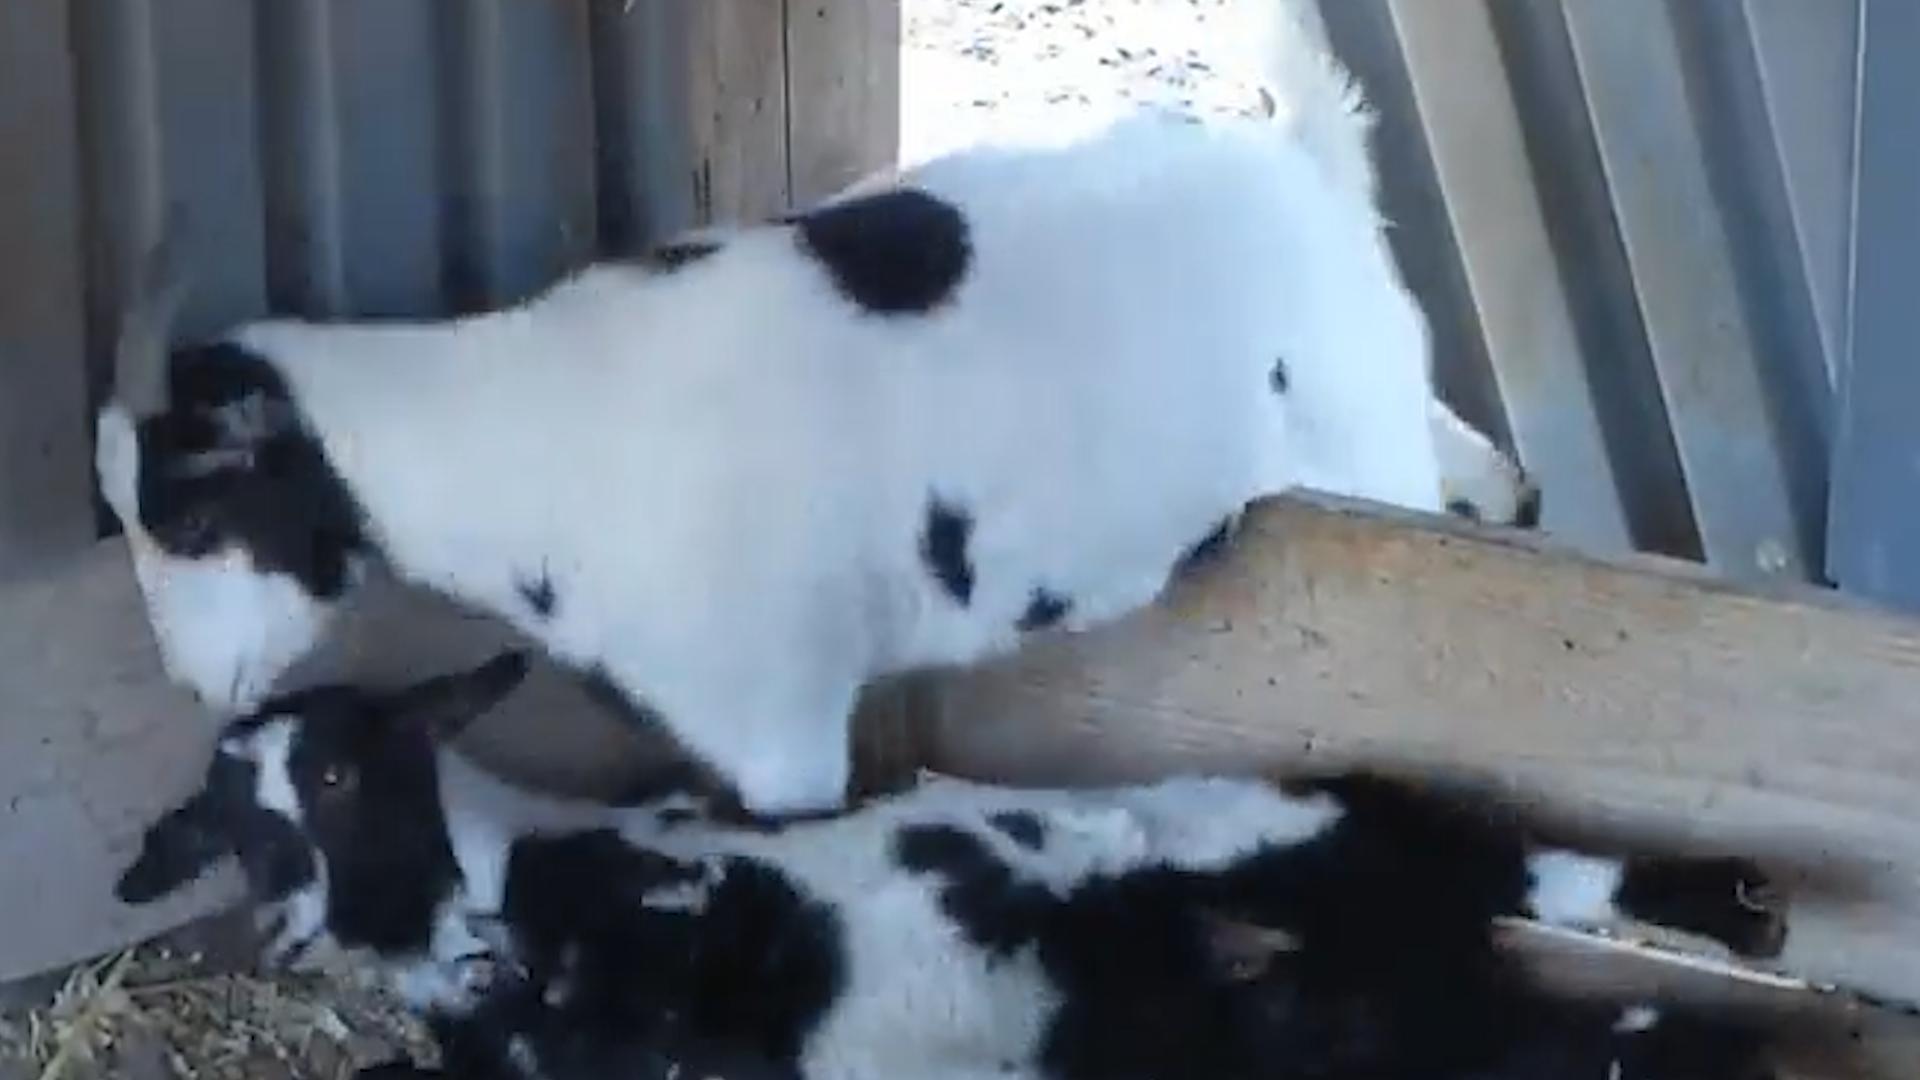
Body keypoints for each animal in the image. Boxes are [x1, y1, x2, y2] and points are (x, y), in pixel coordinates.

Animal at [95, 39, 1535, 817]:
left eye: (195, 511)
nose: (192, 687)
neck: (521, 438)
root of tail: (1303, 158)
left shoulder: (777, 727)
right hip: (1379, 397)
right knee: (1476, 467)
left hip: (1362, 446)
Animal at [120, 654, 1791, 1080]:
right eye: (225, 820)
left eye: (344, 771)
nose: (285, 918)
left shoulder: (682, 931)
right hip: (1365, 1008)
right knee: (1579, 1018)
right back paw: (1740, 990)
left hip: (1315, 840)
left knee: (1543, 866)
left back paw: (1749, 913)